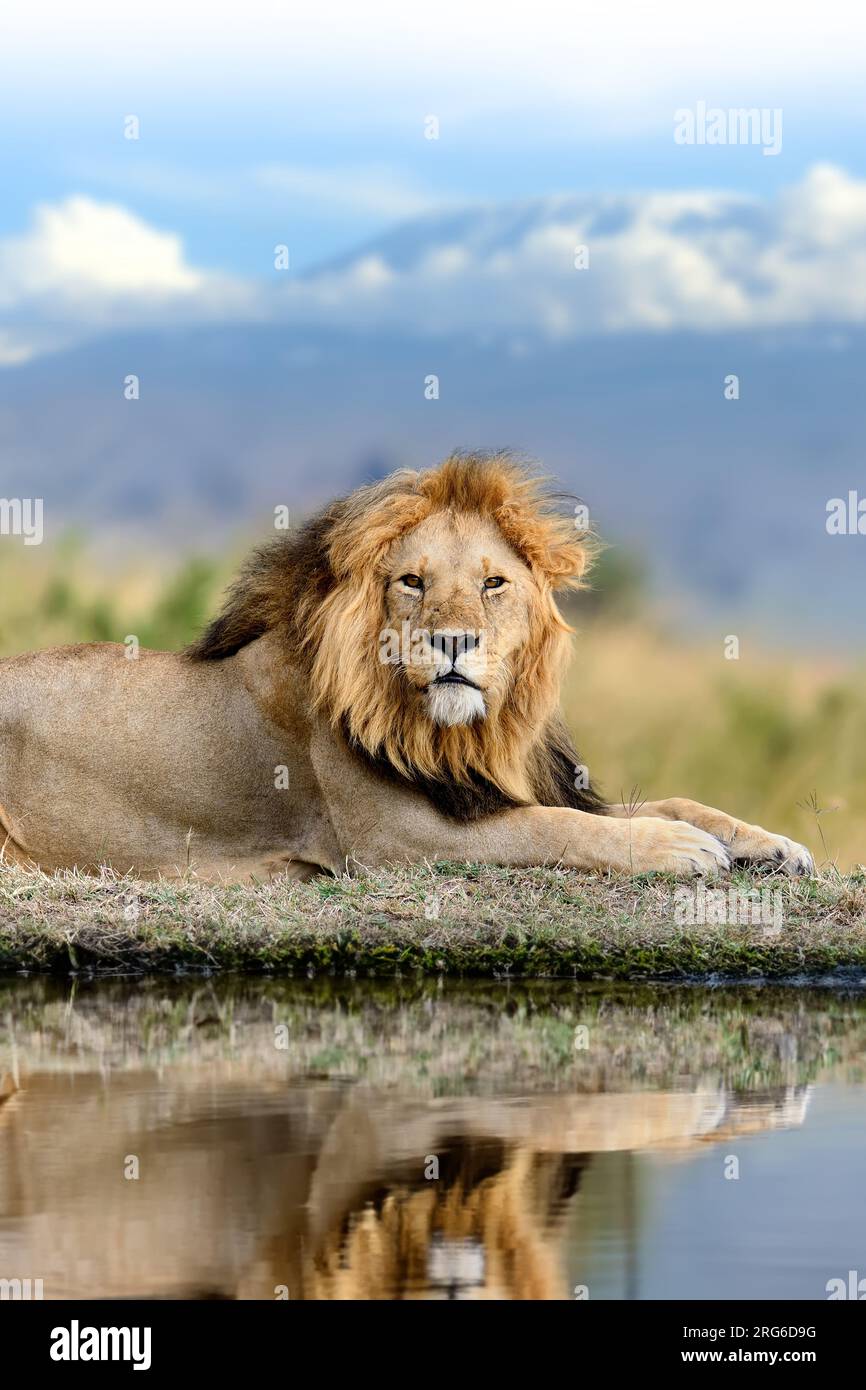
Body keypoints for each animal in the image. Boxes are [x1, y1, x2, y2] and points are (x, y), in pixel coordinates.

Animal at [0, 453, 813, 881]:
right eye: (412, 582)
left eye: (493, 583)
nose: (452, 642)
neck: (468, 734)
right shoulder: (397, 841)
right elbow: (555, 829)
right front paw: (675, 848)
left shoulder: (494, 787)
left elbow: (674, 800)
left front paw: (771, 842)